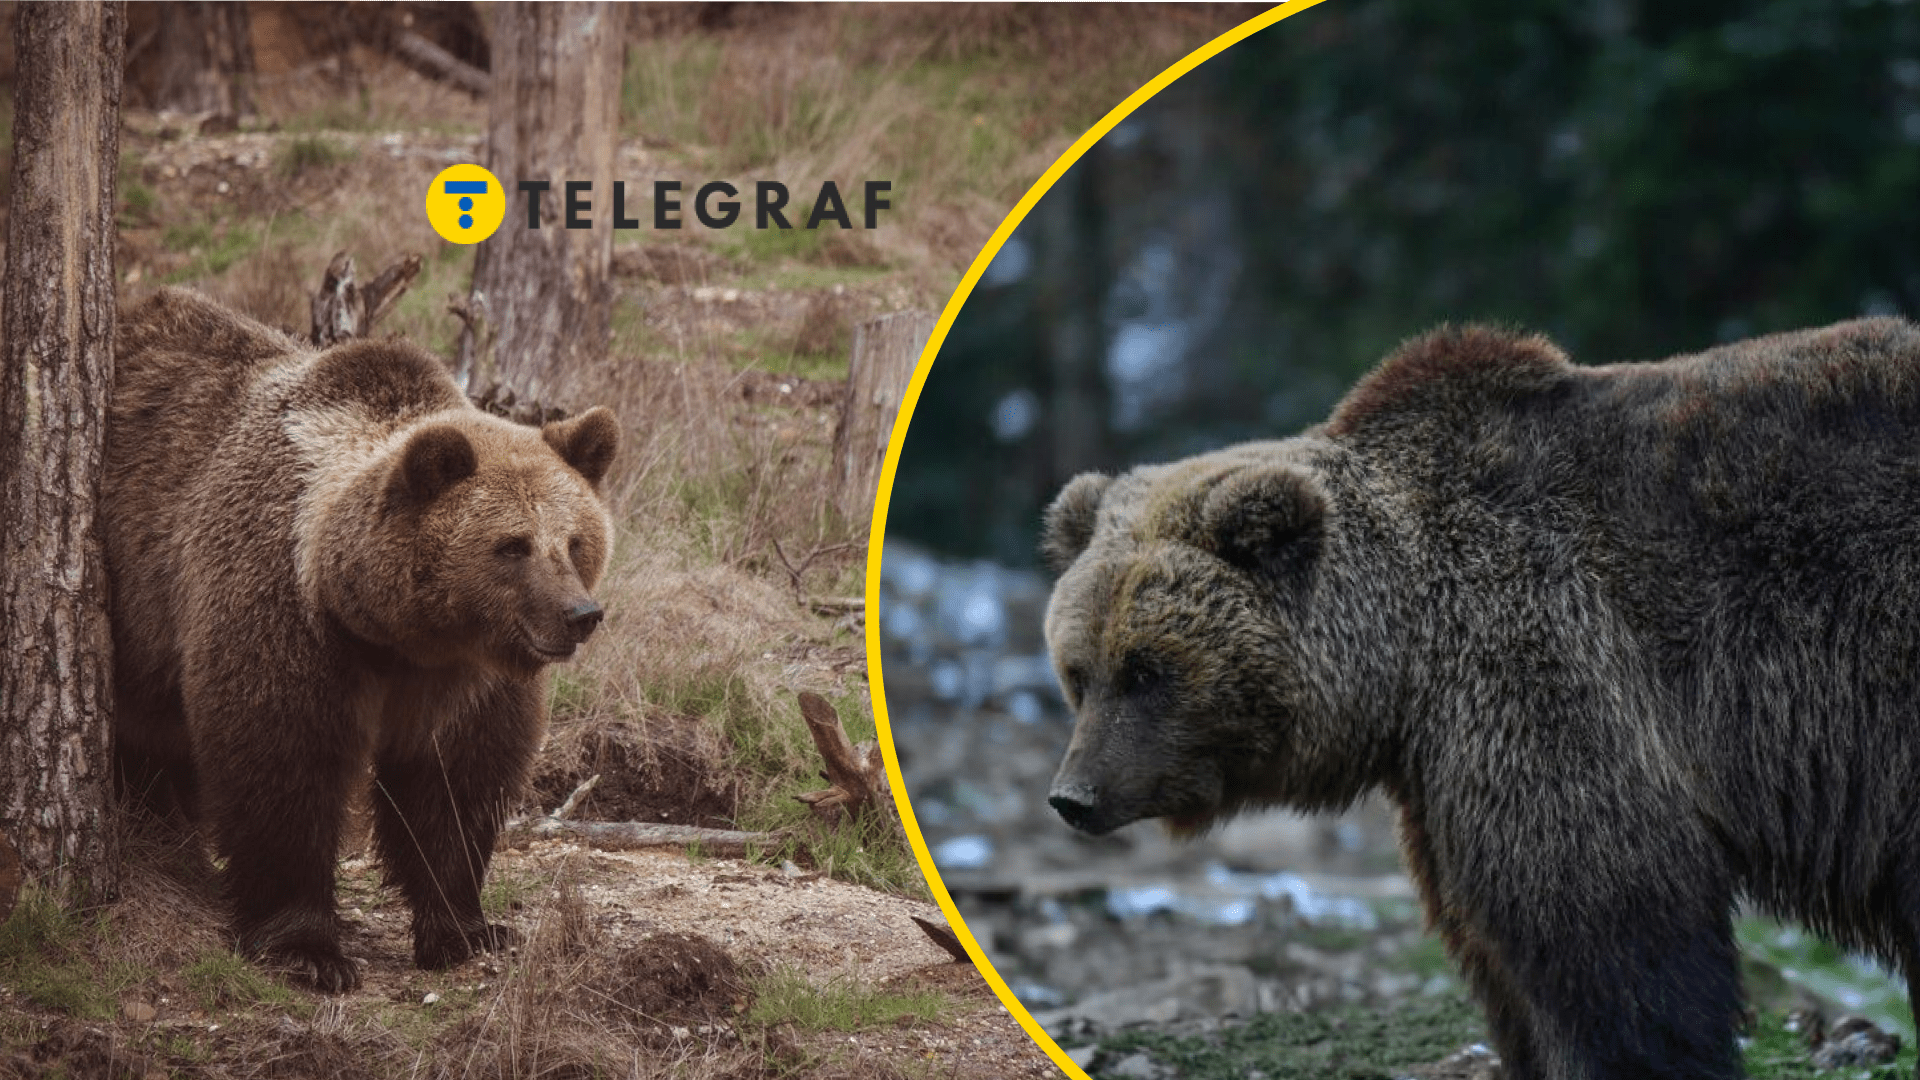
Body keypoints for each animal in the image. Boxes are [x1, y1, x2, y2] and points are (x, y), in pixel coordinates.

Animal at [105, 288, 619, 992]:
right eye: (512, 545)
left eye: (575, 541)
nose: (579, 614)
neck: (392, 633)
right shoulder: (284, 614)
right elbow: (282, 762)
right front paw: (308, 948)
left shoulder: (461, 677)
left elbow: (452, 784)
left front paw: (466, 928)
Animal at [1041, 318, 1920, 1079]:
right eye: (1079, 672)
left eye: (1148, 670)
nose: (1073, 795)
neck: (1406, 649)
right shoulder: (1442, 767)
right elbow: (1501, 950)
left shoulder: (1546, 664)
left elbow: (1606, 924)